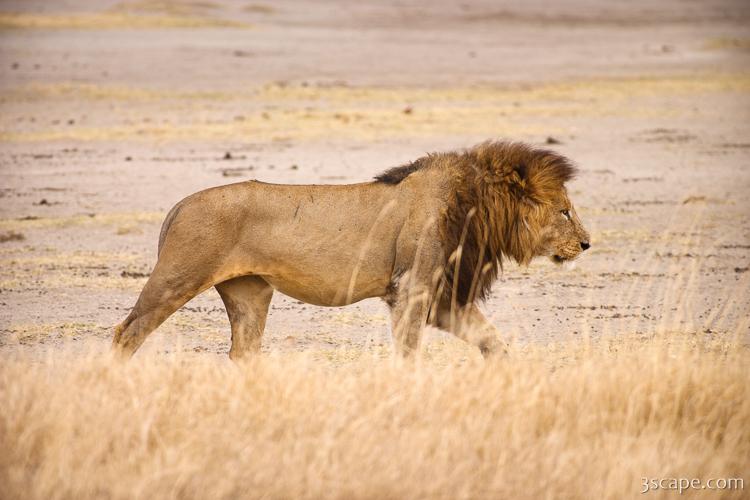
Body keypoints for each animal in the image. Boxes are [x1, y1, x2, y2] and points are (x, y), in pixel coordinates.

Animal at [112, 140, 590, 359]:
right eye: (565, 211)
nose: (587, 243)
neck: (476, 206)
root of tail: (178, 205)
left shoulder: (443, 297)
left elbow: (493, 342)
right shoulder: (412, 288)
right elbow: (409, 350)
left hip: (250, 292)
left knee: (242, 351)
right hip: (178, 277)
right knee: (127, 332)